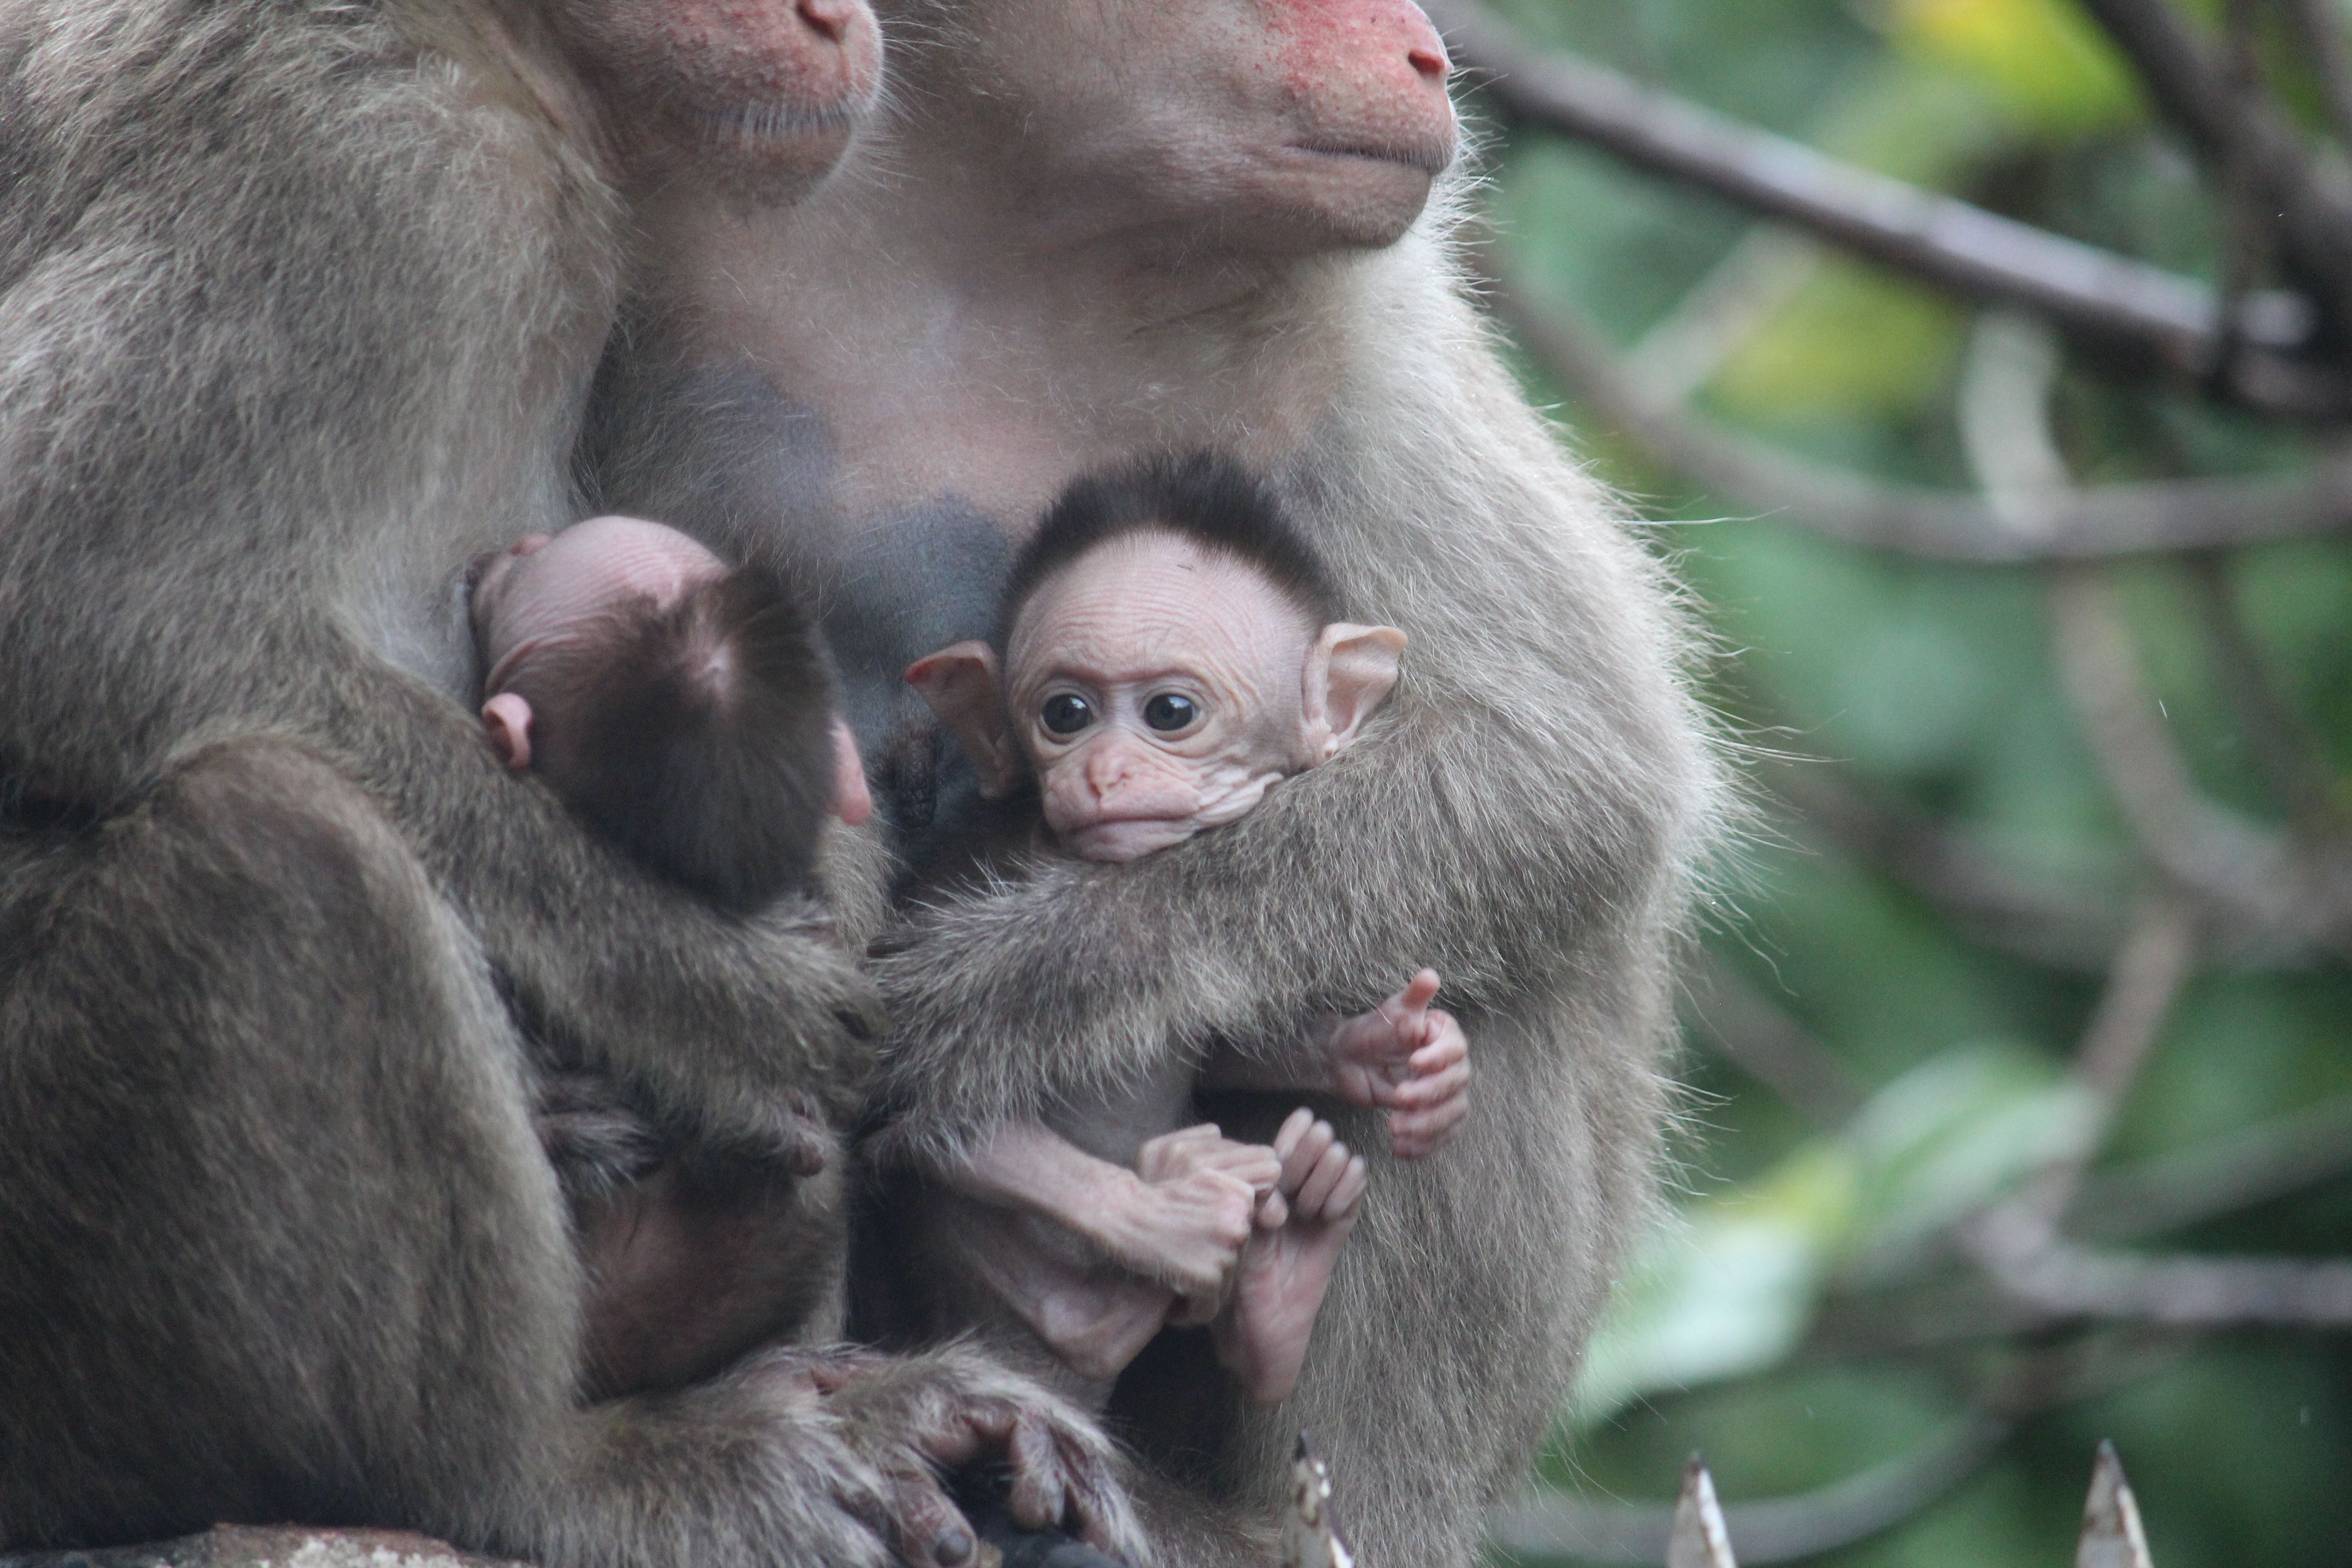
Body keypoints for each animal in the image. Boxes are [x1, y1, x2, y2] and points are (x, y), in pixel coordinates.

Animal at [0, 3, 1147, 1565]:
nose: (839, 22)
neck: (507, 43)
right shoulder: (352, 163)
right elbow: (80, 607)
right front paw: (710, 989)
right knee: (276, 843)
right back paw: (533, 1472)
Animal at [861, 453, 1472, 1410]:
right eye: (1064, 714)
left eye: (1170, 713)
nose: (1102, 774)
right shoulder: (957, 877)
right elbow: (921, 1119)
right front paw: (1162, 1221)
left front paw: (1391, 1052)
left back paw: (1277, 1300)